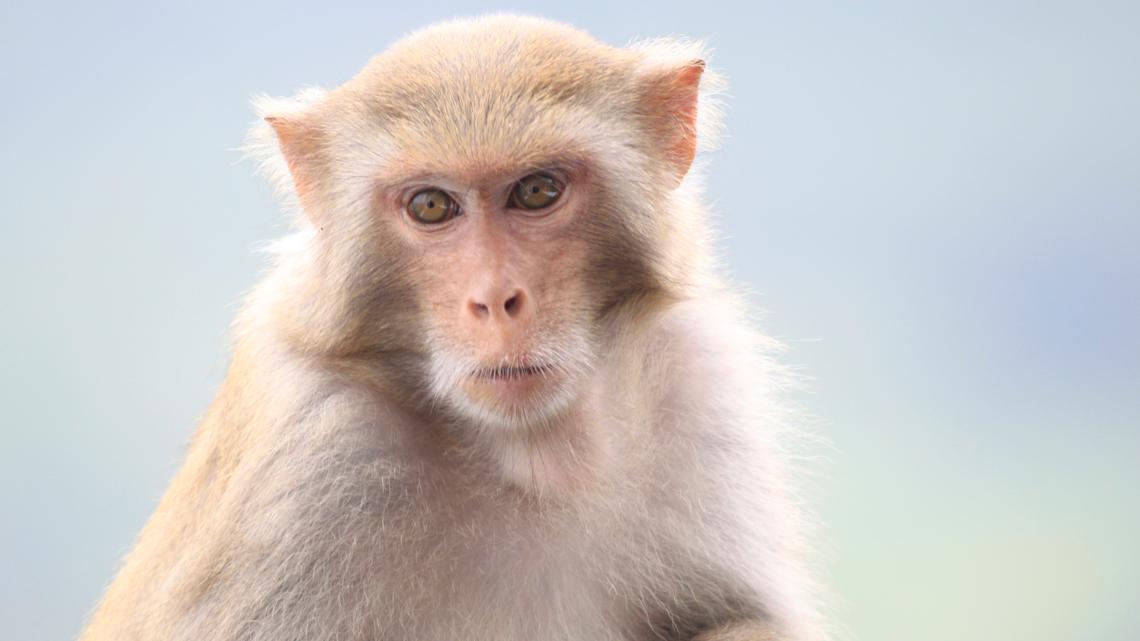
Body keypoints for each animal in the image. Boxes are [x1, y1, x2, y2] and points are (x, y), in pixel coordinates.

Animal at [79, 15, 829, 641]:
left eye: (537, 191)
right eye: (433, 206)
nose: (495, 299)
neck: (535, 455)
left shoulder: (696, 378)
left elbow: (746, 618)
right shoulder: (308, 467)